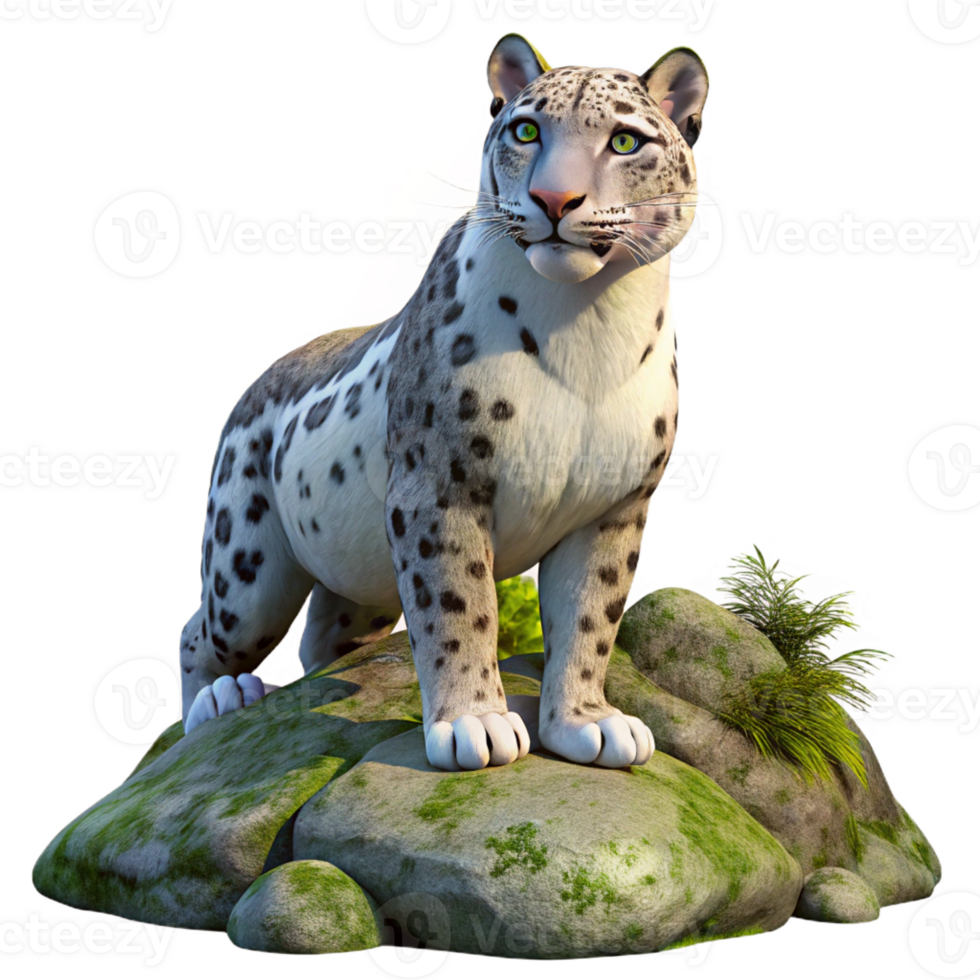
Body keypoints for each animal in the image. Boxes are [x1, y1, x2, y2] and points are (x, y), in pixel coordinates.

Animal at [177, 32, 711, 772]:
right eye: (525, 129)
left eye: (626, 141)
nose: (554, 197)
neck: (585, 331)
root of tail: (257, 383)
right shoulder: (441, 483)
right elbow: (458, 605)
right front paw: (474, 726)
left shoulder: (615, 501)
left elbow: (591, 615)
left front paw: (588, 725)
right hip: (247, 561)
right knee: (199, 629)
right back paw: (218, 701)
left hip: (359, 576)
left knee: (324, 633)